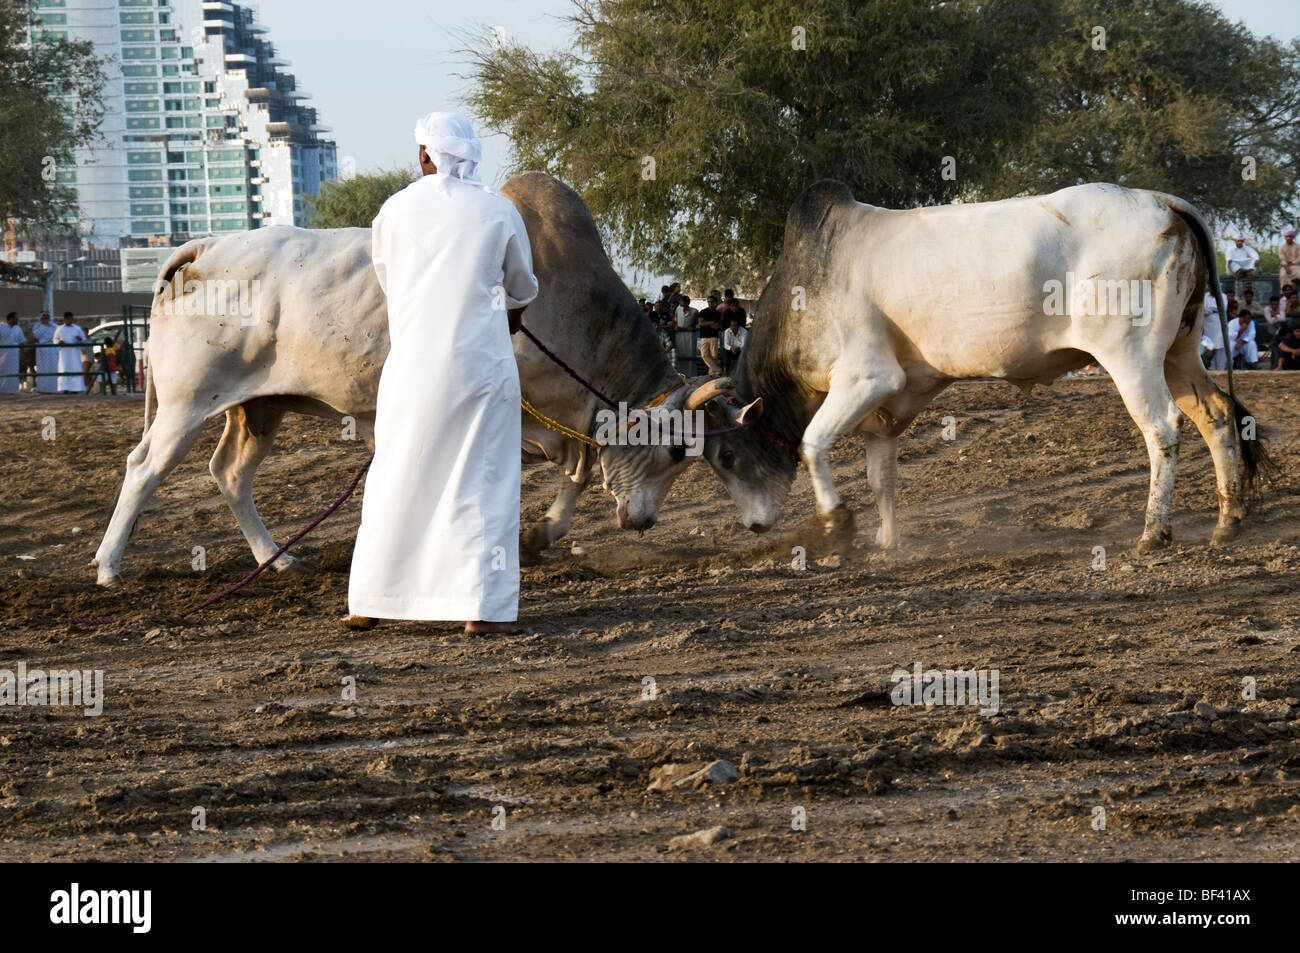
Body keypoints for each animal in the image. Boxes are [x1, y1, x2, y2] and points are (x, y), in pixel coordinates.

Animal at [92, 172, 736, 587]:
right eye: (675, 451)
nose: (643, 522)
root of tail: (204, 247)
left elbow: (573, 478)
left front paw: (534, 537)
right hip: (186, 403)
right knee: (143, 468)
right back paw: (108, 567)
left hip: (259, 408)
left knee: (229, 474)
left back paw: (280, 560)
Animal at [696, 180, 1265, 552]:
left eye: (726, 457)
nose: (754, 527)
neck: (808, 289)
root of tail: (1162, 200)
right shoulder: (883, 414)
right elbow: (881, 478)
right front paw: (888, 543)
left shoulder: (868, 378)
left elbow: (814, 445)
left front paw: (837, 525)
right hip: (1179, 351)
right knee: (1216, 415)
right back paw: (1228, 519)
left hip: (1130, 355)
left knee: (1162, 427)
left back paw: (1153, 533)